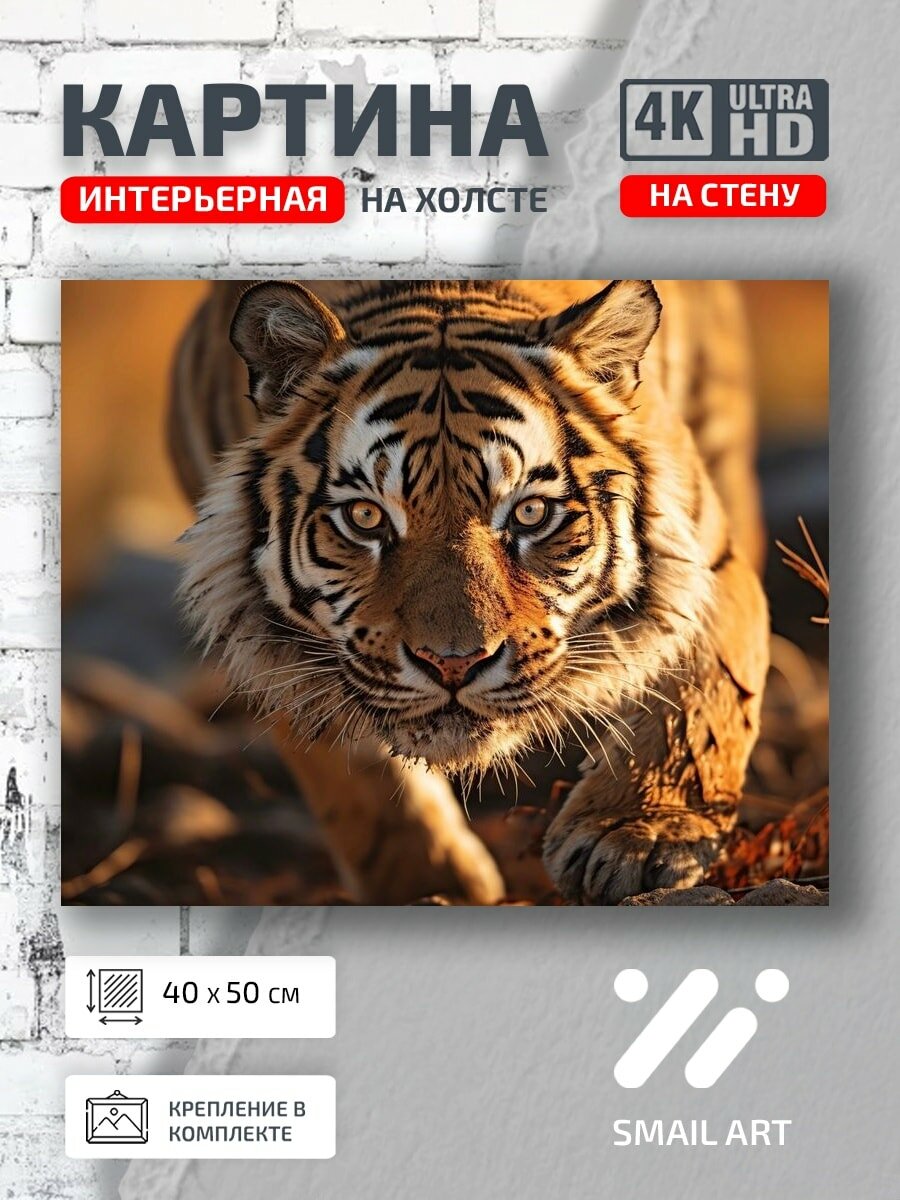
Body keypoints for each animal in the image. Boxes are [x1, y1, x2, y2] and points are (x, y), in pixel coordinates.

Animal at [170, 279, 769, 905]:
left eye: (530, 513)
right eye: (365, 517)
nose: (453, 664)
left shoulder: (706, 557)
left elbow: (703, 694)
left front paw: (637, 836)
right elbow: (351, 769)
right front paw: (425, 883)